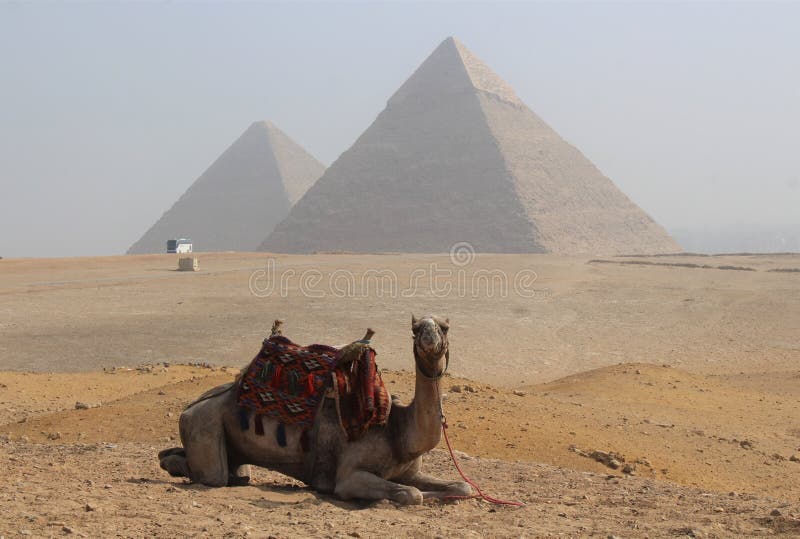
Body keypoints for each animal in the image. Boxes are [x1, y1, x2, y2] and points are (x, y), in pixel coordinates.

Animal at [158, 314, 472, 505]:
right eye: (415, 330)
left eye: (444, 327)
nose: (429, 339)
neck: (397, 430)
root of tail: (190, 406)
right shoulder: (348, 476)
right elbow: (411, 494)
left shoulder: (407, 471)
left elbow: (462, 486)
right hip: (204, 422)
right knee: (212, 475)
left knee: (231, 471)